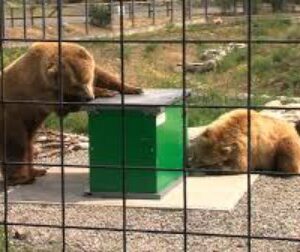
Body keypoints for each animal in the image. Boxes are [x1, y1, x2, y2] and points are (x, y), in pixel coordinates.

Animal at [0, 42, 142, 185]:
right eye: (75, 85)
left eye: (87, 79)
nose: (89, 97)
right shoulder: (39, 92)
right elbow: (63, 104)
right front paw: (104, 92)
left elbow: (102, 74)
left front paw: (132, 88)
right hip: (13, 117)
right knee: (17, 146)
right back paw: (23, 178)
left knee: (28, 144)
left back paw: (37, 171)